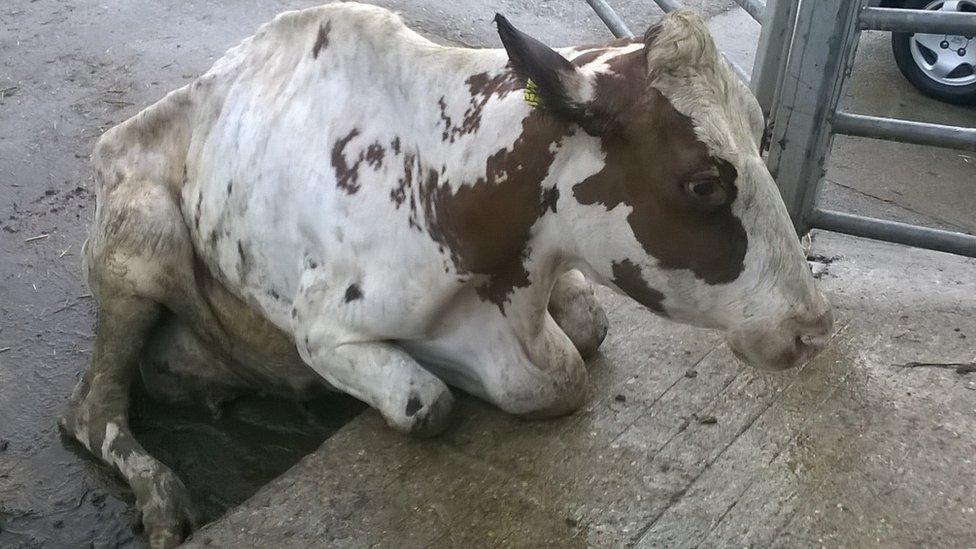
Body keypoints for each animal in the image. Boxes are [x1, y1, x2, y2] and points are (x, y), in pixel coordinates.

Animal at [58, 3, 832, 546]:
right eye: (703, 183)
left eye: (764, 134)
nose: (813, 327)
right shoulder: (322, 327)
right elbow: (431, 400)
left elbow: (584, 334)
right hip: (141, 249)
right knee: (89, 411)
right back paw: (161, 495)